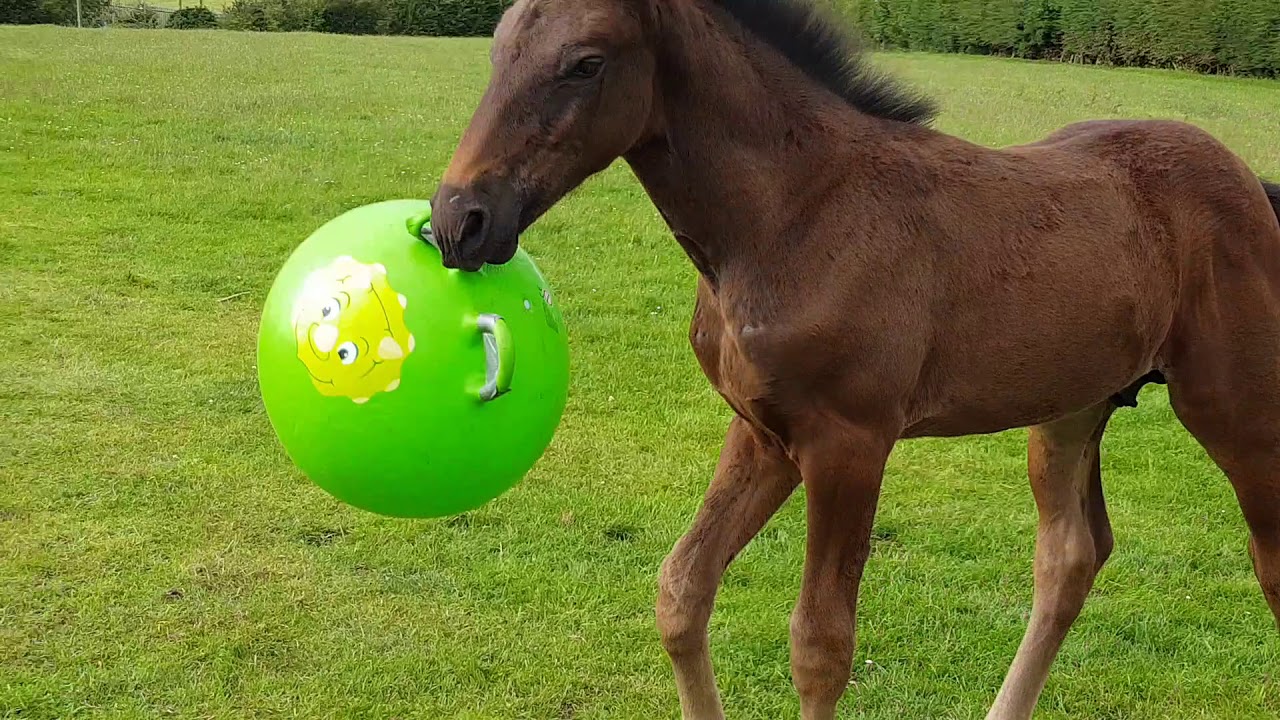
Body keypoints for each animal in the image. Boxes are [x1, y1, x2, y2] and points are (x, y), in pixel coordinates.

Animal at [425, 0, 1280, 717]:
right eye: (498, 49)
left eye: (586, 62)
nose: (460, 219)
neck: (792, 211)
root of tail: (1250, 183)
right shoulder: (764, 434)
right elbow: (682, 591)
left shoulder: (849, 444)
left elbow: (820, 645)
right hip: (1073, 408)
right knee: (1071, 556)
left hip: (1234, 408)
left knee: (1264, 555)